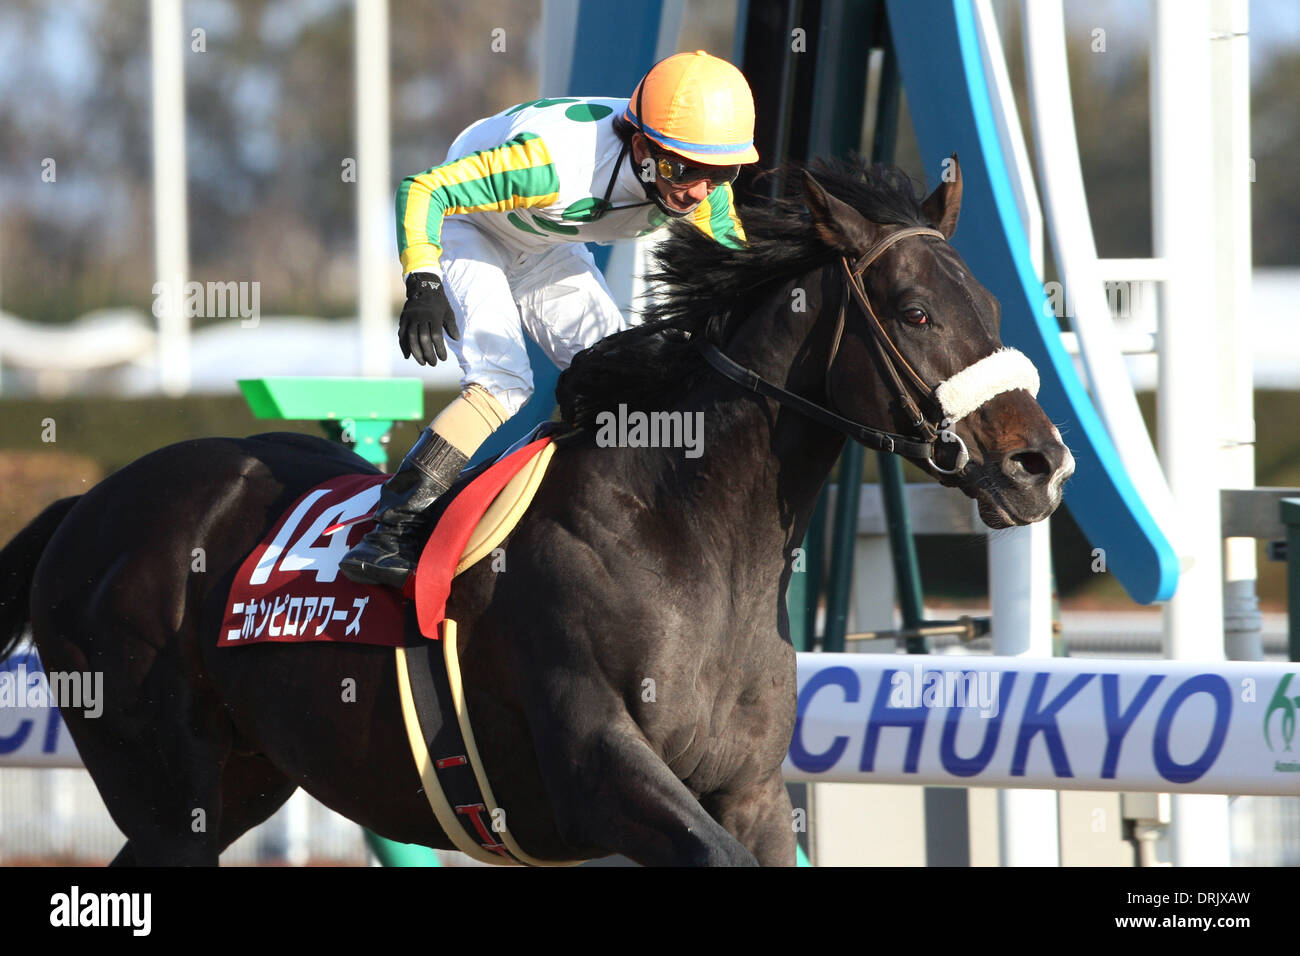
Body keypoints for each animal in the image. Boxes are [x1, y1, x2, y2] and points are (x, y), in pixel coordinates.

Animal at [0, 156, 1073, 866]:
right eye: (916, 313)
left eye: (990, 307)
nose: (1041, 465)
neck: (684, 537)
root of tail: (89, 502)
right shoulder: (601, 769)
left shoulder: (752, 789)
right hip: (162, 780)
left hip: (241, 780)